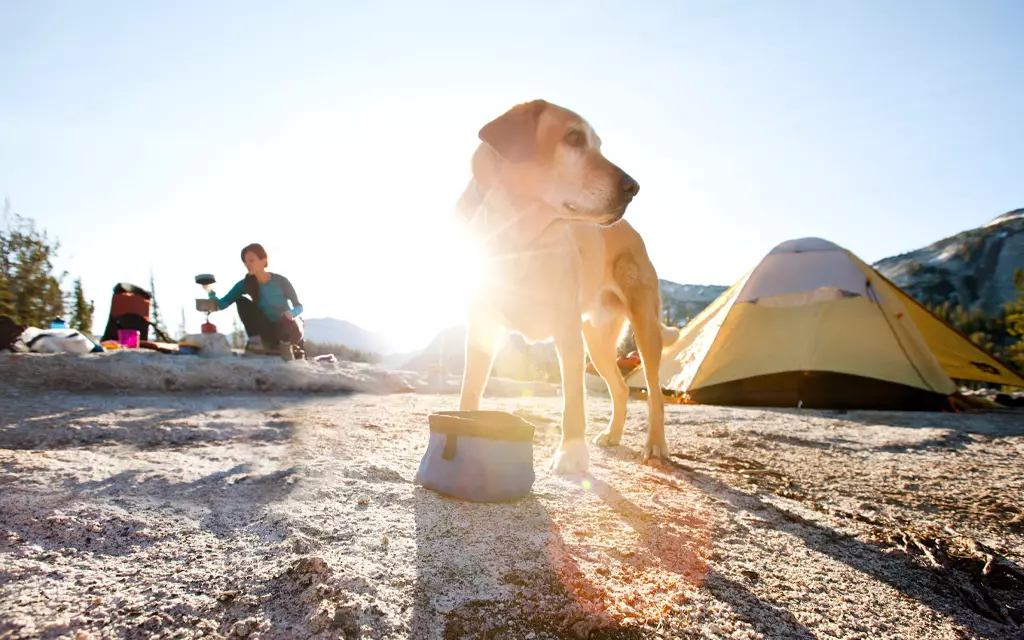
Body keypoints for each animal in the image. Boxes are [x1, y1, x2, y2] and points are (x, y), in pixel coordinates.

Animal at [456, 98, 679, 475]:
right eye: (574, 138)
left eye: (599, 145)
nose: (633, 187)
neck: (519, 236)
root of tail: (633, 232)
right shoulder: (482, 323)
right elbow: (470, 389)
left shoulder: (566, 329)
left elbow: (573, 400)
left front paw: (571, 454)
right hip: (597, 341)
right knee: (620, 388)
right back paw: (613, 434)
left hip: (643, 329)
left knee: (653, 394)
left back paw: (656, 445)